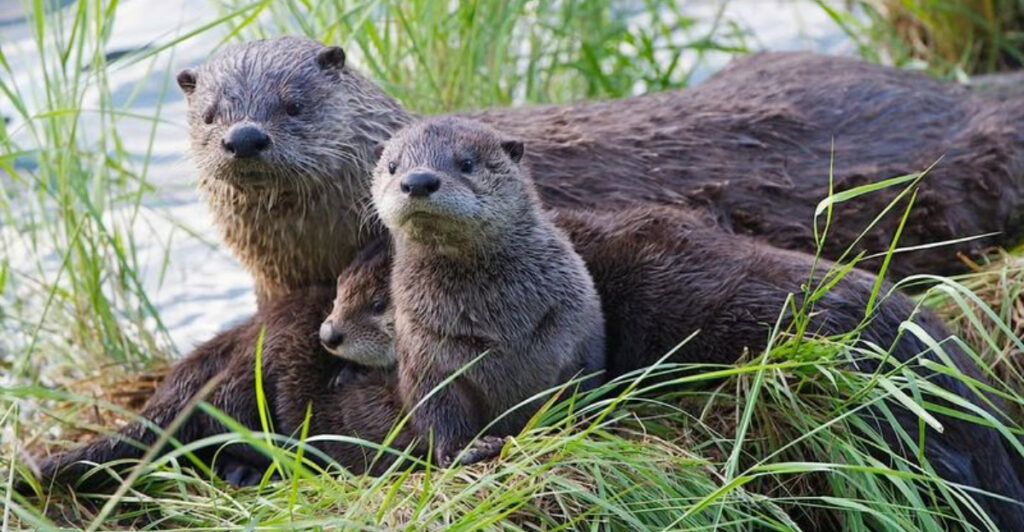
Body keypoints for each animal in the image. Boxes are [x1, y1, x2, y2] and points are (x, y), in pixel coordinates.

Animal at [372, 117, 605, 466]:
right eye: (392, 166)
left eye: (467, 163)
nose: (418, 180)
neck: (497, 325)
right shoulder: (424, 352)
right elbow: (439, 409)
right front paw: (468, 449)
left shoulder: (576, 327)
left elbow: (580, 386)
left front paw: (572, 428)